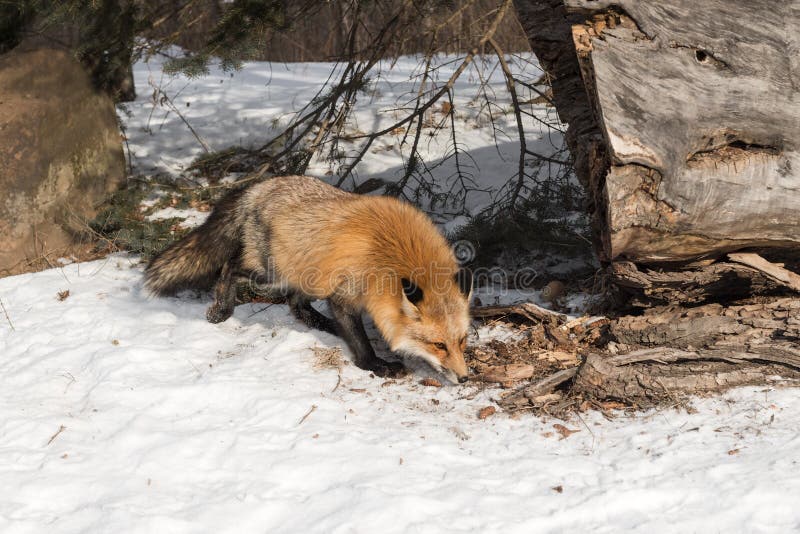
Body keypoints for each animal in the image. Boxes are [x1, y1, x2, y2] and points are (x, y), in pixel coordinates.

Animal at [144, 175, 473, 383]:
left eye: (461, 341)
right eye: (438, 345)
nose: (464, 377)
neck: (393, 254)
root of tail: (259, 186)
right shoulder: (345, 295)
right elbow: (360, 343)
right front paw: (375, 365)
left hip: (308, 276)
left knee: (296, 304)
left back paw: (325, 325)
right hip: (271, 273)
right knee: (230, 267)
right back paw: (221, 310)